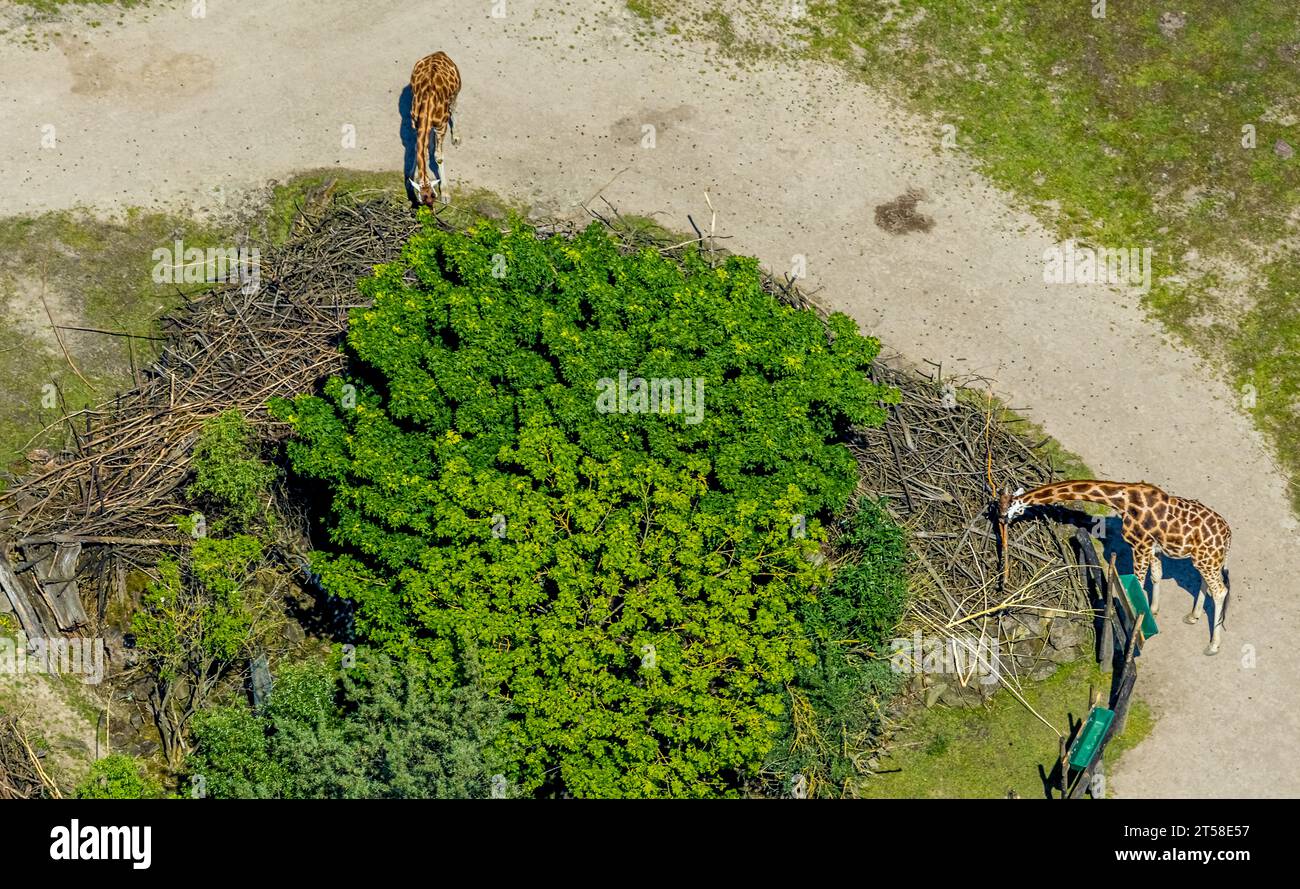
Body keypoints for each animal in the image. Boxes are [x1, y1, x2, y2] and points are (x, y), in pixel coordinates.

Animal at [408, 51, 462, 208]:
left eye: (433, 195)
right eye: (422, 197)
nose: (431, 207)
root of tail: (440, 52)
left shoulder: (441, 126)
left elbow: (439, 157)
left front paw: (446, 193)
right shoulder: (415, 123)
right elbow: (419, 150)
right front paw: (411, 177)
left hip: (456, 93)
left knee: (454, 109)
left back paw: (456, 137)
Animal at [1000, 480, 1232, 656]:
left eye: (1003, 513)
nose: (1002, 527)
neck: (1122, 499)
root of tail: (1228, 537)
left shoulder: (1140, 545)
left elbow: (1138, 586)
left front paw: (1137, 627)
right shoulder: (1153, 548)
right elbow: (1155, 576)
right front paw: (1153, 610)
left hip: (1207, 560)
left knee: (1220, 591)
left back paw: (1213, 646)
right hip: (1204, 559)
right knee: (1206, 584)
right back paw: (1193, 616)